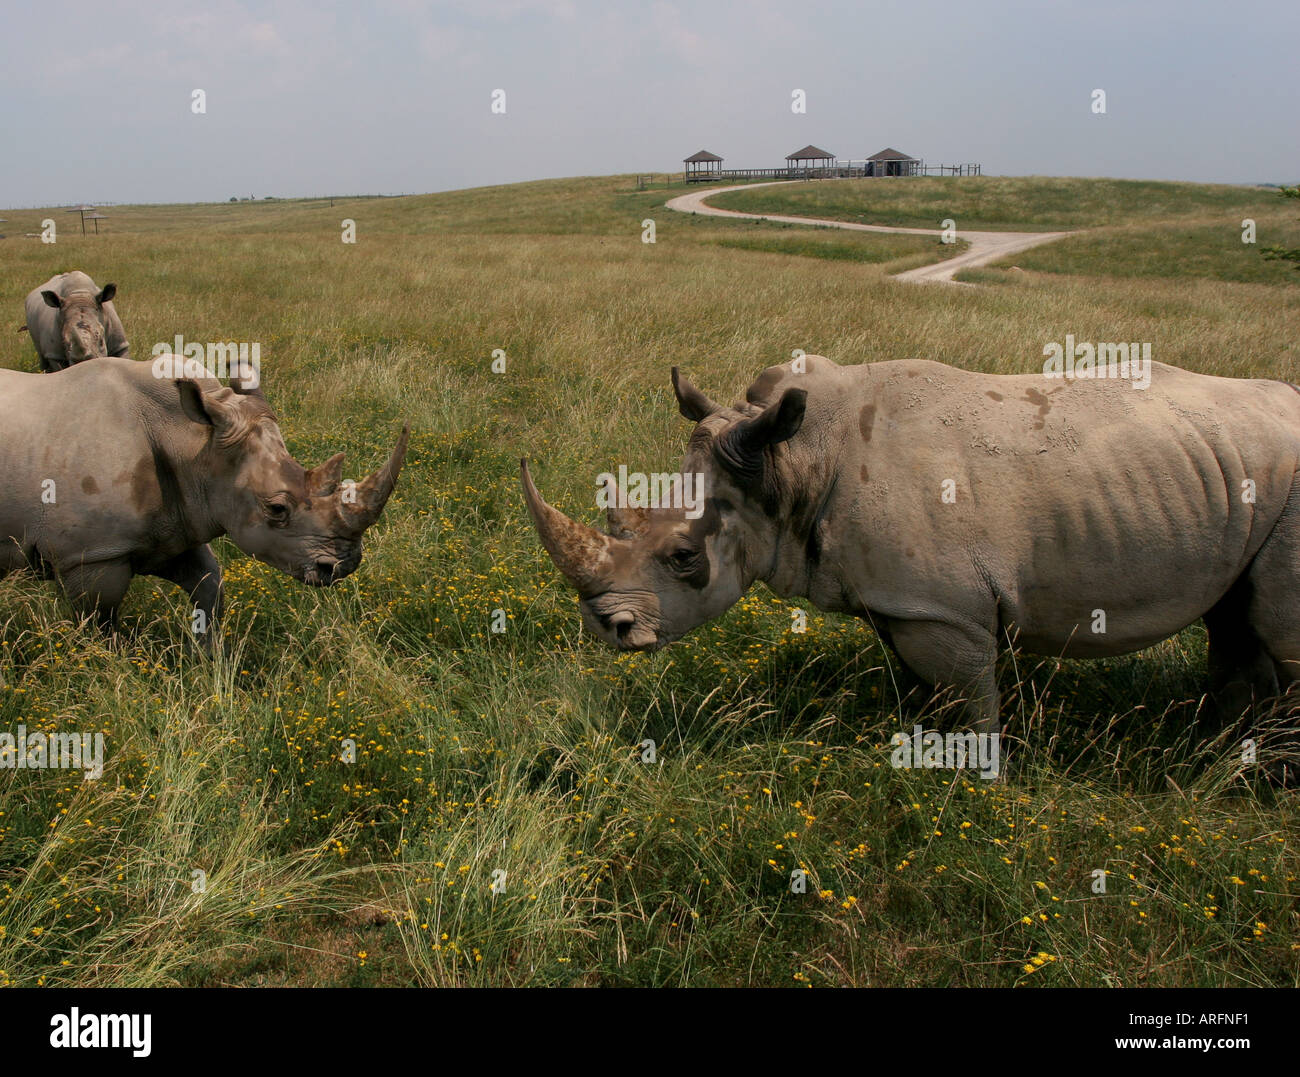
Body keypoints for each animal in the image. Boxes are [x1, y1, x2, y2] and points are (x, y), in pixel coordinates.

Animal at [0, 356, 408, 648]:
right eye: (277, 509)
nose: (344, 566)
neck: (194, 442)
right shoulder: (92, 553)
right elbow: (101, 623)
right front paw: (107, 665)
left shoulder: (175, 522)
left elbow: (209, 585)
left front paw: (208, 659)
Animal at [523, 354, 1300, 734]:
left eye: (684, 558)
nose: (607, 628)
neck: (792, 465)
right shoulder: (902, 603)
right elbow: (923, 691)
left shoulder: (949, 609)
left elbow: (976, 704)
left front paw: (981, 782)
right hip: (1234, 475)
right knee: (1236, 617)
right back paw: (1227, 751)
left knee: (1275, 629)